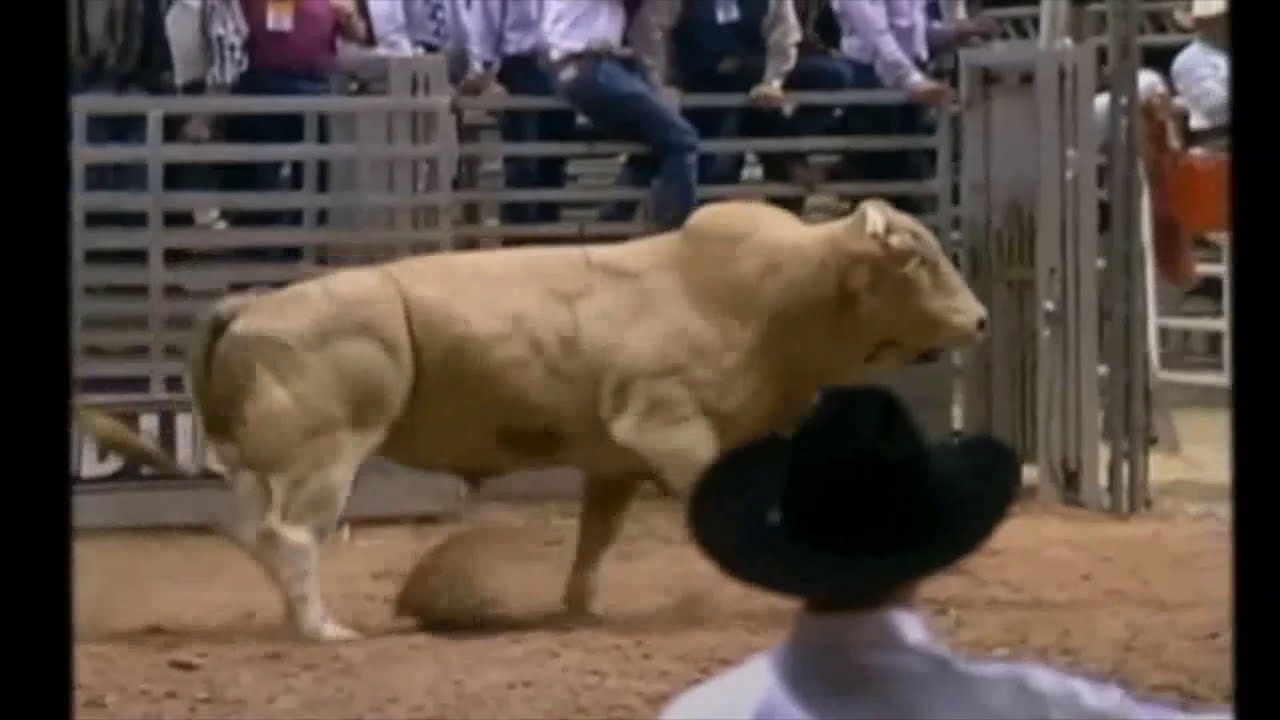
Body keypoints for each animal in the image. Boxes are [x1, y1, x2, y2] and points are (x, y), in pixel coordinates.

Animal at [86, 199, 987, 641]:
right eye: (917, 257)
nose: (978, 321)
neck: (771, 294)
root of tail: (254, 304)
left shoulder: (613, 461)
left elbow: (597, 539)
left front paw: (580, 609)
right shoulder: (669, 428)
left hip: (260, 461)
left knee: (253, 532)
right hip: (328, 451)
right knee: (292, 536)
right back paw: (323, 629)